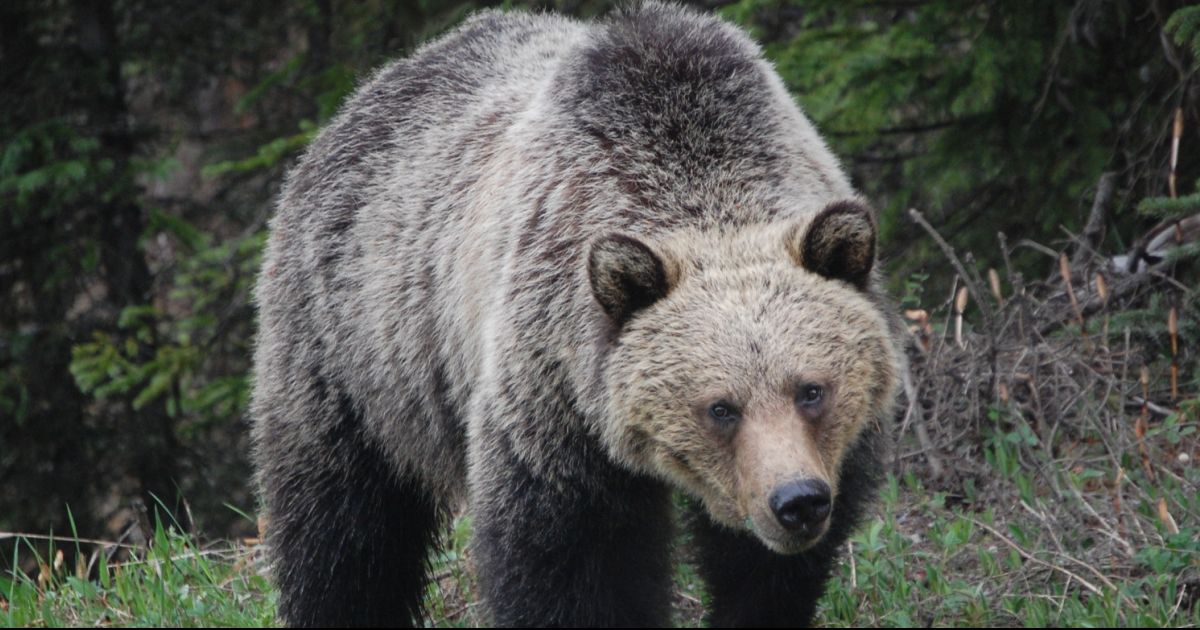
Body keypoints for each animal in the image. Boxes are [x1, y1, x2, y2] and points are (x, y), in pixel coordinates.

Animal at [250, 2, 904, 627]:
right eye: (721, 407)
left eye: (812, 390)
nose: (796, 501)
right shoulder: (554, 399)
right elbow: (571, 561)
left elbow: (765, 577)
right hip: (356, 349)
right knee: (344, 532)